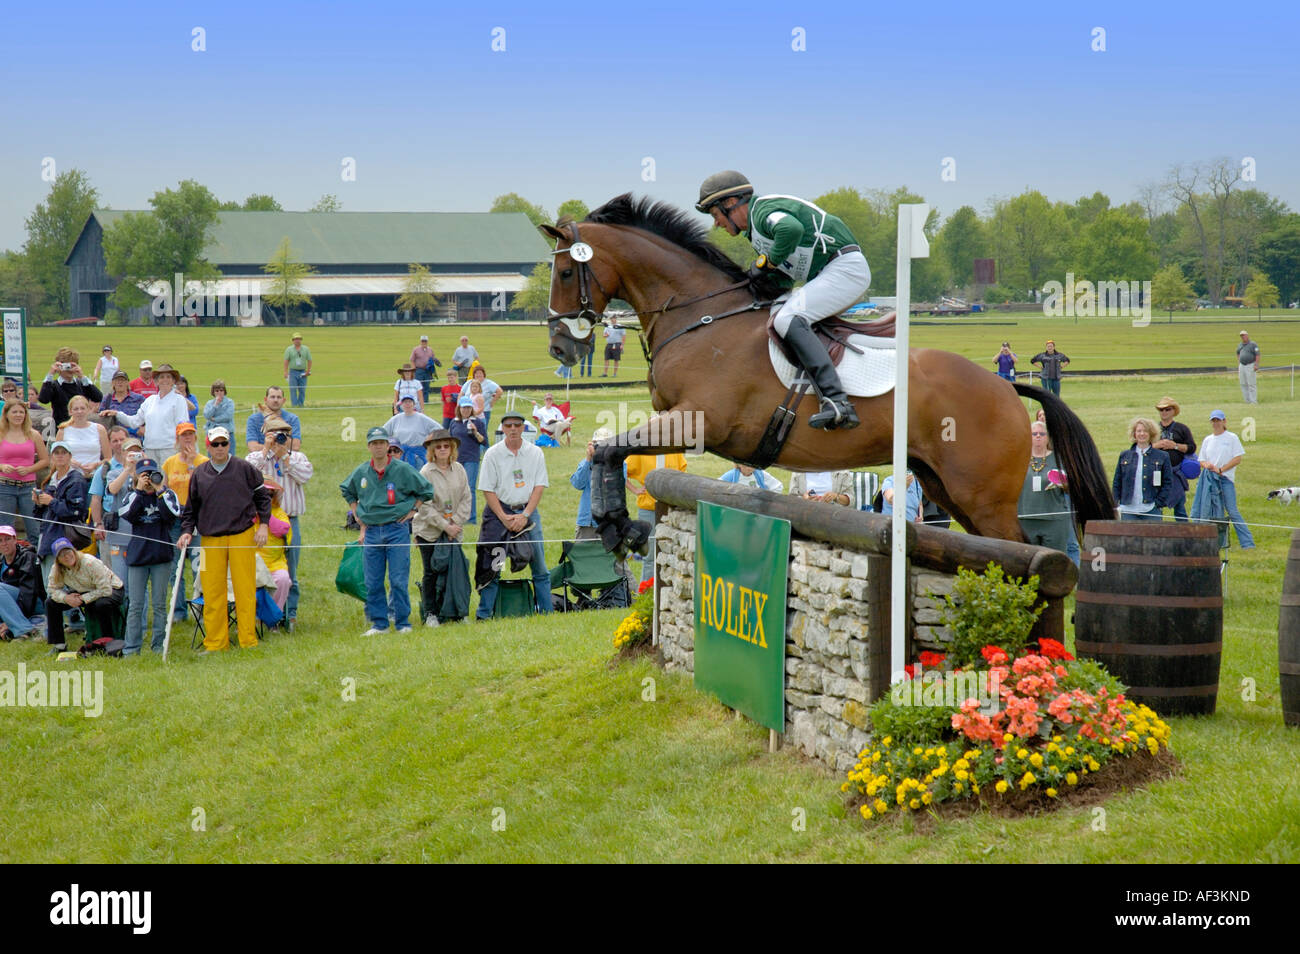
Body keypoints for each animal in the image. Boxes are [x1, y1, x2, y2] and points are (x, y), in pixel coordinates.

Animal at [541, 193, 1113, 550]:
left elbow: (609, 449)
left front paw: (618, 527)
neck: (700, 314)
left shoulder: (700, 420)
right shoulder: (680, 421)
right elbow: (605, 452)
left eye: (566, 271)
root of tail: (1004, 386)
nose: (560, 347)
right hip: (948, 488)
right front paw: (616, 526)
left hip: (983, 496)